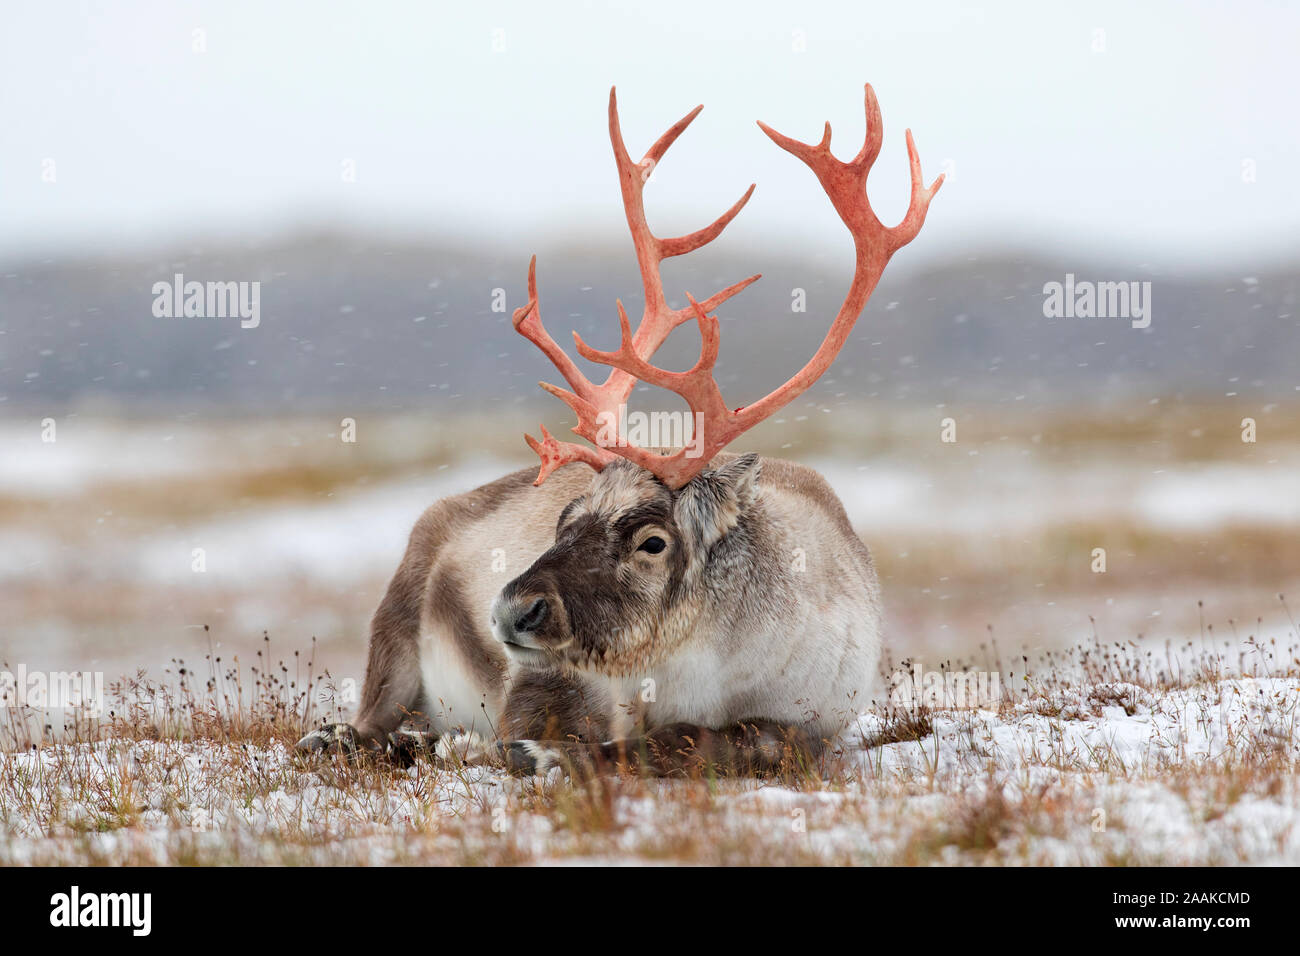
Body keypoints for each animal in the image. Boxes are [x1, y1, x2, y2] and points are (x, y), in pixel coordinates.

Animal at [295, 84, 942, 775]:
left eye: (652, 542)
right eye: (564, 518)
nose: (513, 608)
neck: (705, 668)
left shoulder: (812, 722)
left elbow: (710, 739)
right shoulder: (553, 678)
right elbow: (553, 726)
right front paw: (524, 749)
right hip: (397, 616)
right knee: (371, 720)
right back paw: (370, 737)